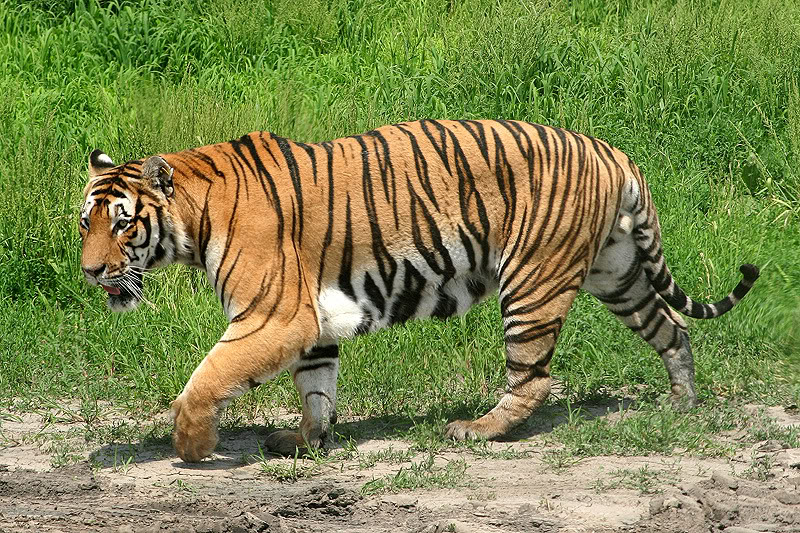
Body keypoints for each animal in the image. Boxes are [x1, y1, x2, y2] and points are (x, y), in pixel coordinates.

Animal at [79, 119, 759, 463]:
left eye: (123, 224)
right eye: (86, 223)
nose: (88, 272)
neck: (194, 218)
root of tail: (612, 151)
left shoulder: (272, 316)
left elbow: (206, 379)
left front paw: (193, 447)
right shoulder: (310, 322)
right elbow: (317, 389)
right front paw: (306, 441)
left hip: (533, 281)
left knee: (534, 377)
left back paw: (477, 431)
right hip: (615, 272)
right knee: (673, 326)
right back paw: (682, 403)